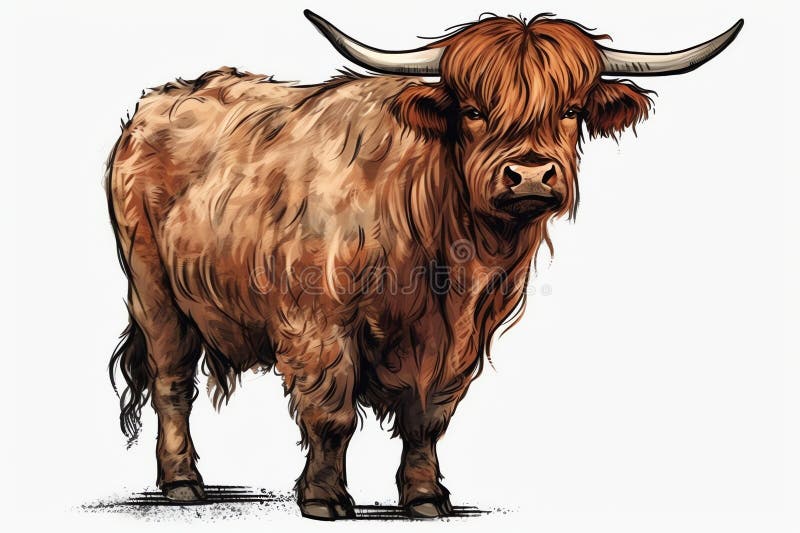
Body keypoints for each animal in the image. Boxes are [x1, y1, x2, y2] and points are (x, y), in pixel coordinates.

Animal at [106, 10, 742, 519]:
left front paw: (426, 498)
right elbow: (332, 413)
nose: (530, 175)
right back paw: (183, 483)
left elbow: (428, 418)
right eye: (473, 110)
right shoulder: (319, 323)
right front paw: (325, 499)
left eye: (569, 109)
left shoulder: (458, 337)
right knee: (172, 381)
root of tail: (162, 100)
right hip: (153, 288)